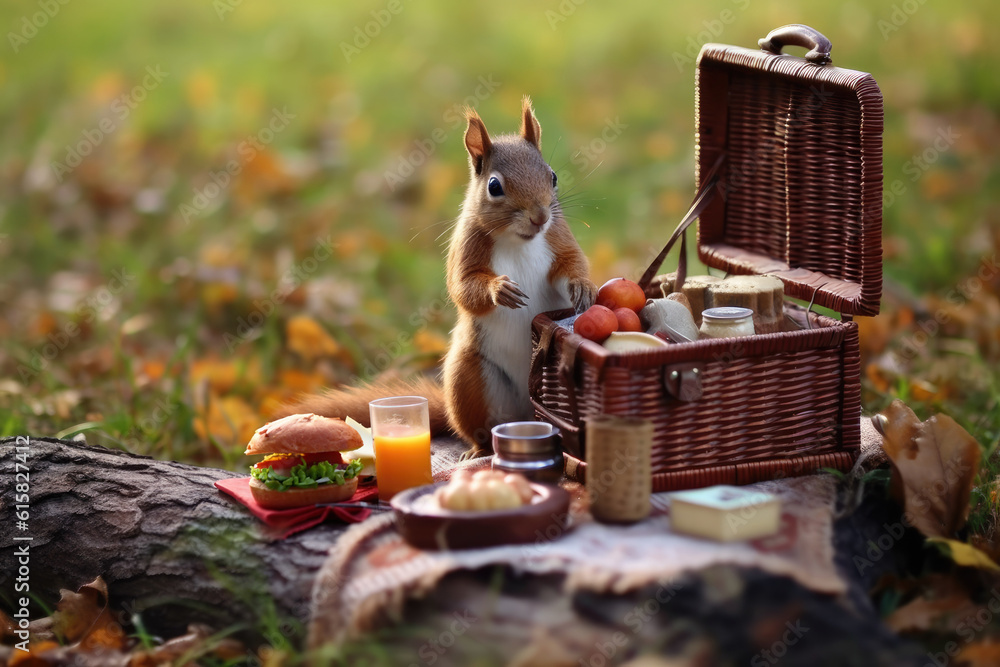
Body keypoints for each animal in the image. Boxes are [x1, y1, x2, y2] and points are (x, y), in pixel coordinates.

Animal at [283, 97, 595, 458]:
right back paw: (478, 450)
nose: (540, 216)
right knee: (479, 428)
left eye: (553, 176)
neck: (520, 240)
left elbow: (571, 265)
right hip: (469, 379)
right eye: (494, 186)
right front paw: (498, 289)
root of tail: (528, 413)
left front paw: (584, 287)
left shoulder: (558, 239)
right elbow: (463, 288)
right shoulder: (467, 247)